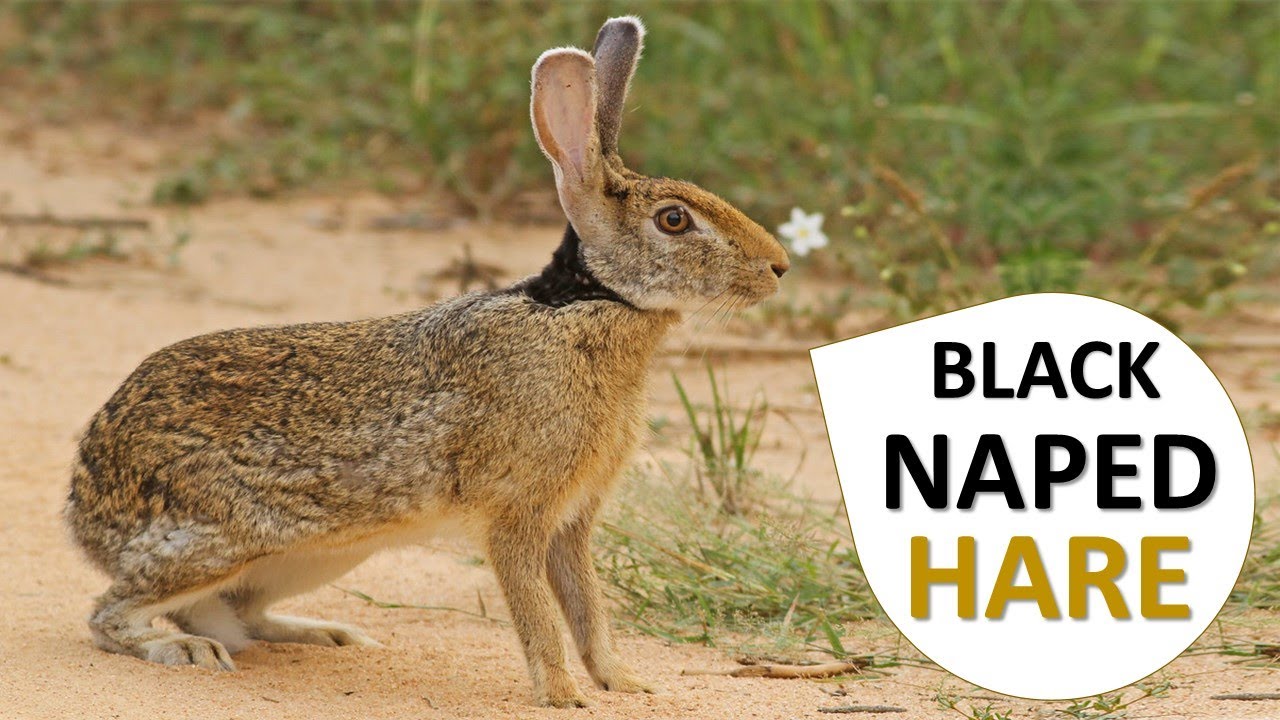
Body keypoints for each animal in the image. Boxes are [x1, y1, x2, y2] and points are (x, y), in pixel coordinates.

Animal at [64, 15, 788, 709]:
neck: (582, 307)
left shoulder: (572, 521)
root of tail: (84, 510)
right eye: (674, 220)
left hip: (321, 553)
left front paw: (626, 684)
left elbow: (589, 609)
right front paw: (562, 696)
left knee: (230, 614)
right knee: (116, 615)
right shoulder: (516, 515)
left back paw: (330, 634)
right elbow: (540, 615)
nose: (778, 265)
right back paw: (185, 651)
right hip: (228, 541)